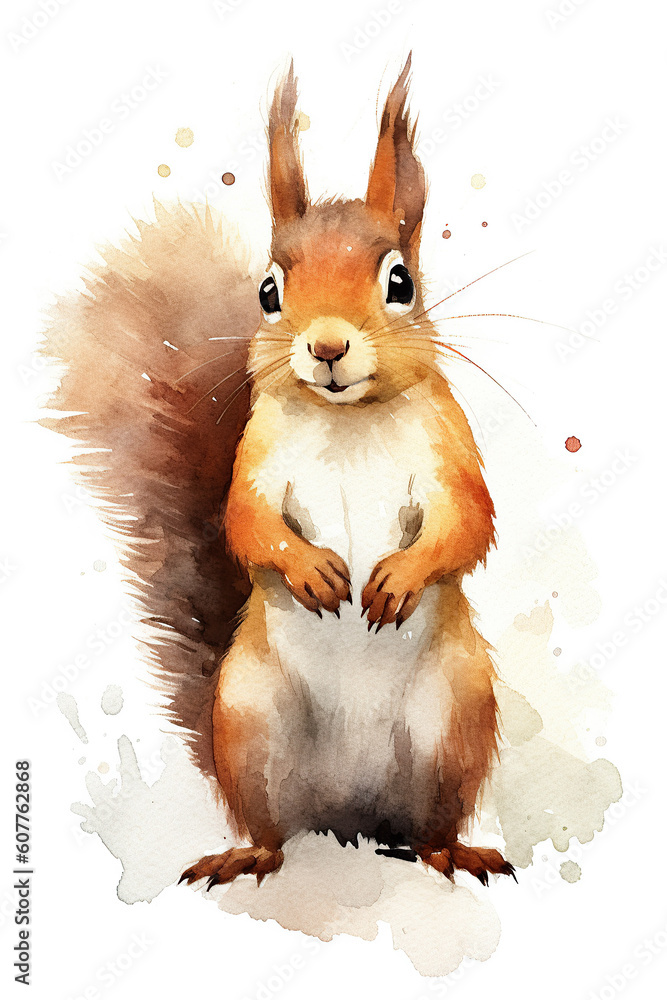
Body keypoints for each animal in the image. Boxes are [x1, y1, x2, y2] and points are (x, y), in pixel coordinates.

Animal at [42, 54, 515, 890]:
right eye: (268, 292)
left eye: (400, 283)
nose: (326, 346)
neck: (345, 419)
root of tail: (352, 818)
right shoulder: (256, 461)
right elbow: (247, 522)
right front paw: (312, 571)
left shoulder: (451, 453)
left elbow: (466, 522)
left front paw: (397, 577)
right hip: (249, 725)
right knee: (272, 830)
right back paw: (244, 856)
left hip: (453, 728)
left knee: (430, 825)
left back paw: (452, 853)